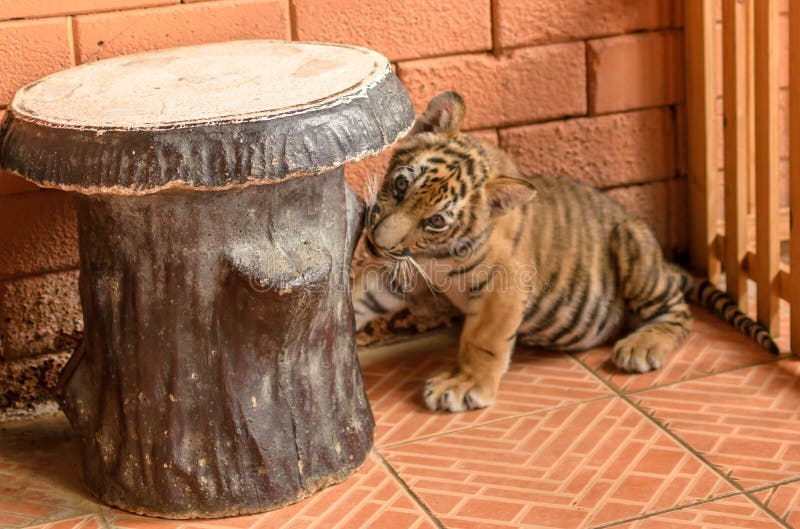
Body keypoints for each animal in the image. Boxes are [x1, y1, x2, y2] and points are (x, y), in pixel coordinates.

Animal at [352, 91, 780, 413]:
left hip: (632, 240)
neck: (436, 256)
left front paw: (463, 385)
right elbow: (361, 297)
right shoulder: (402, 269)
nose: (376, 242)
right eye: (401, 184)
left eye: (436, 221)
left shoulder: (502, 291)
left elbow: (482, 341)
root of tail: (666, 264)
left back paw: (641, 346)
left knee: (677, 311)